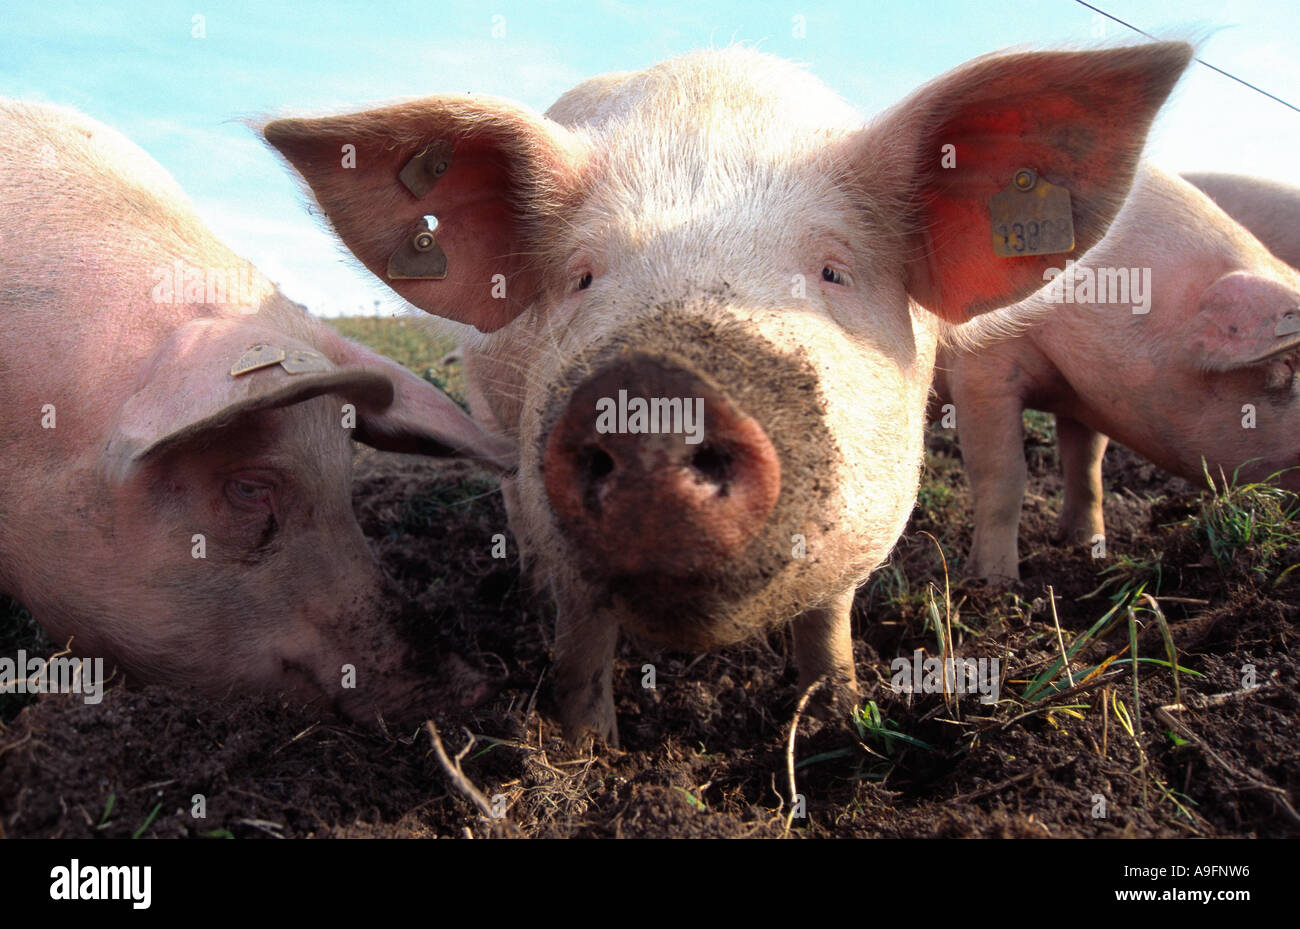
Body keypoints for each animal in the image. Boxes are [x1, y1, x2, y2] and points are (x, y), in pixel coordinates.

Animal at [265, 43, 1191, 742]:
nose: (653, 395)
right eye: (583, 275)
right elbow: (581, 641)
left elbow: (827, 628)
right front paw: (584, 749)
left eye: (833, 270)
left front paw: (841, 718)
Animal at [935, 165, 1300, 581]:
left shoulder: (1079, 394)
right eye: (1288, 364)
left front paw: (1084, 544)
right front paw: (996, 582)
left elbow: (1087, 466)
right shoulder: (980, 372)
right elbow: (1004, 478)